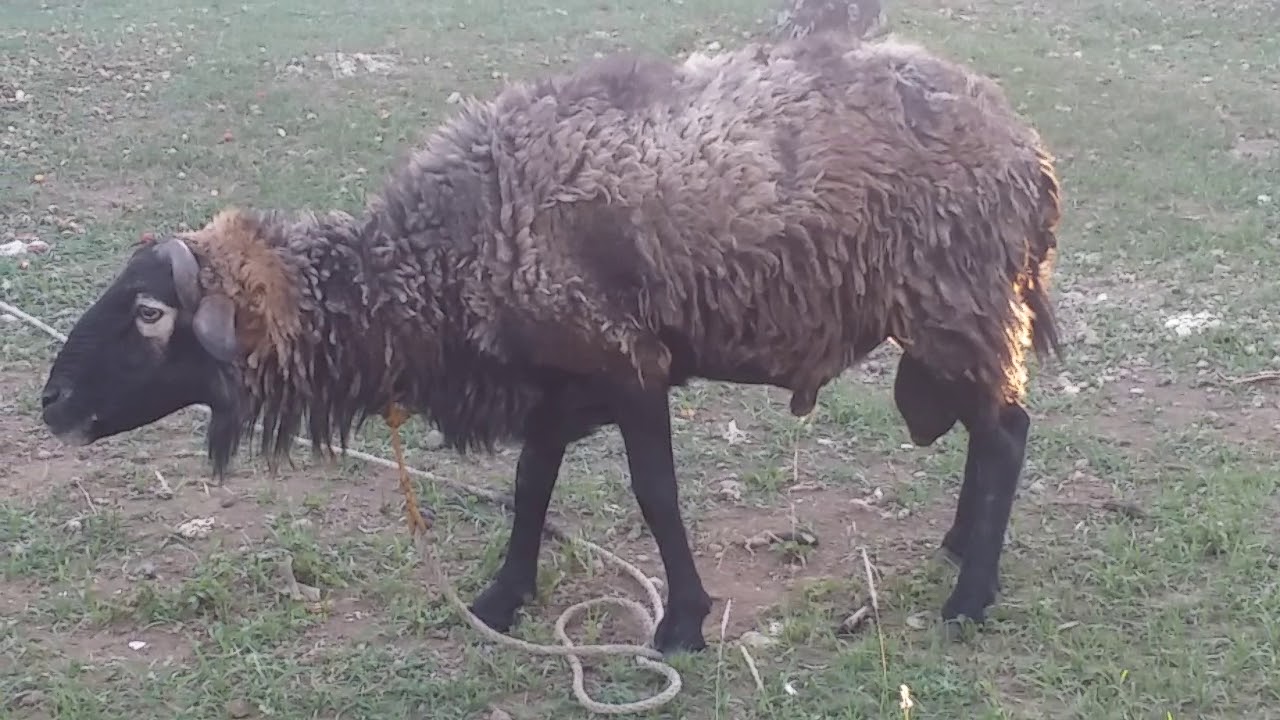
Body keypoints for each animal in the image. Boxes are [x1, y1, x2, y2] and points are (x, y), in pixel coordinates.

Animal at [40, 32, 1065, 655]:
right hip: (957, 315)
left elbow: (655, 495)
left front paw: (682, 623)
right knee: (987, 429)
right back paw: (958, 546)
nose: (50, 401)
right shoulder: (550, 376)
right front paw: (503, 596)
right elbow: (530, 486)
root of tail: (1028, 152)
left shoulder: (628, 363)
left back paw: (970, 595)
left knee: (1007, 434)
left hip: (957, 300)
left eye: (148, 313)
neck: (443, 256)